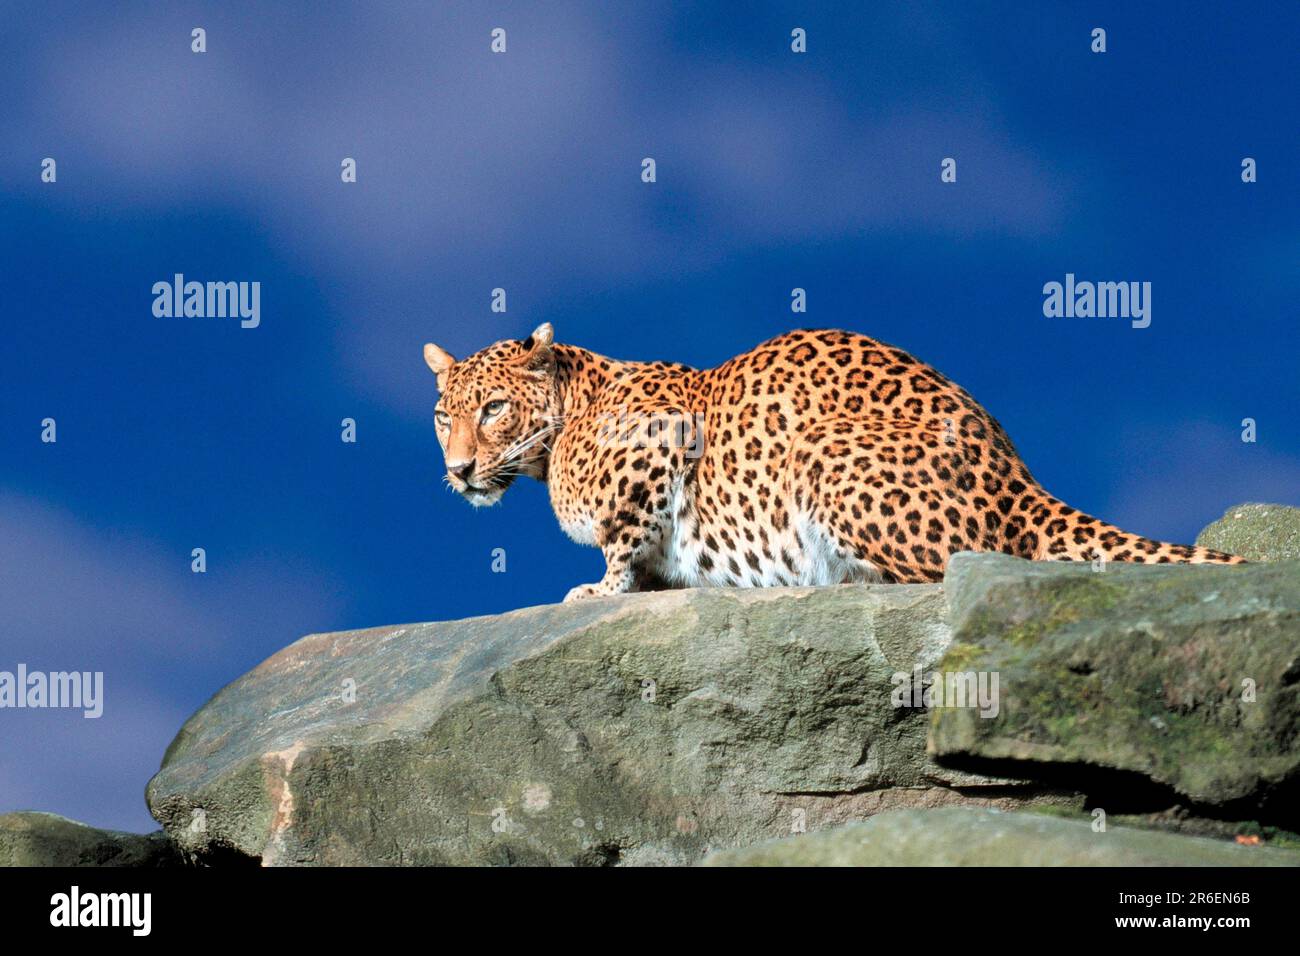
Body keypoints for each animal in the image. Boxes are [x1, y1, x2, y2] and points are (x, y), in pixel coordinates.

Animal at [423, 323, 1243, 602]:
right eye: (443, 417)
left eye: (492, 409)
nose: (458, 472)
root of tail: (1019, 478)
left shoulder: (661, 443)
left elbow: (623, 540)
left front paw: (601, 588)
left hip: (822, 453)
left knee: (962, 563)